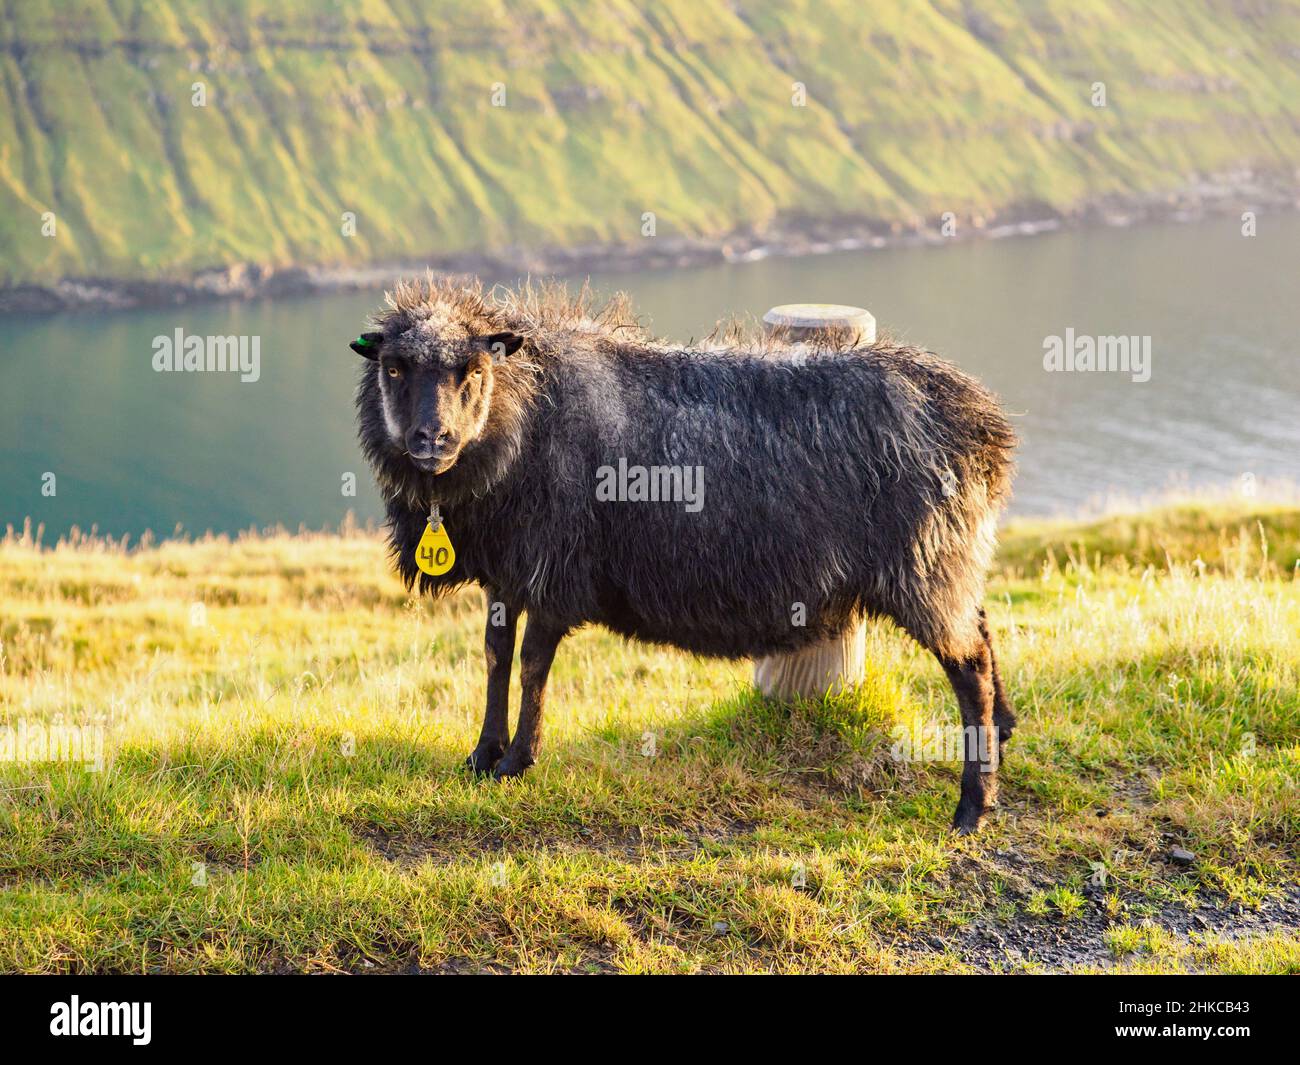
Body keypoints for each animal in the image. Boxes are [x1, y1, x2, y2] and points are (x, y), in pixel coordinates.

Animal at [353, 277, 1017, 832]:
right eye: (394, 367)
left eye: (473, 368)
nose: (430, 440)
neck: (526, 416)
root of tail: (984, 424)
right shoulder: (506, 571)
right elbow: (494, 657)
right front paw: (483, 753)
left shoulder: (554, 570)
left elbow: (533, 665)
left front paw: (518, 759)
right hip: (953, 557)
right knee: (982, 625)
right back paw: (1005, 730)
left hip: (925, 563)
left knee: (970, 668)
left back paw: (974, 805)